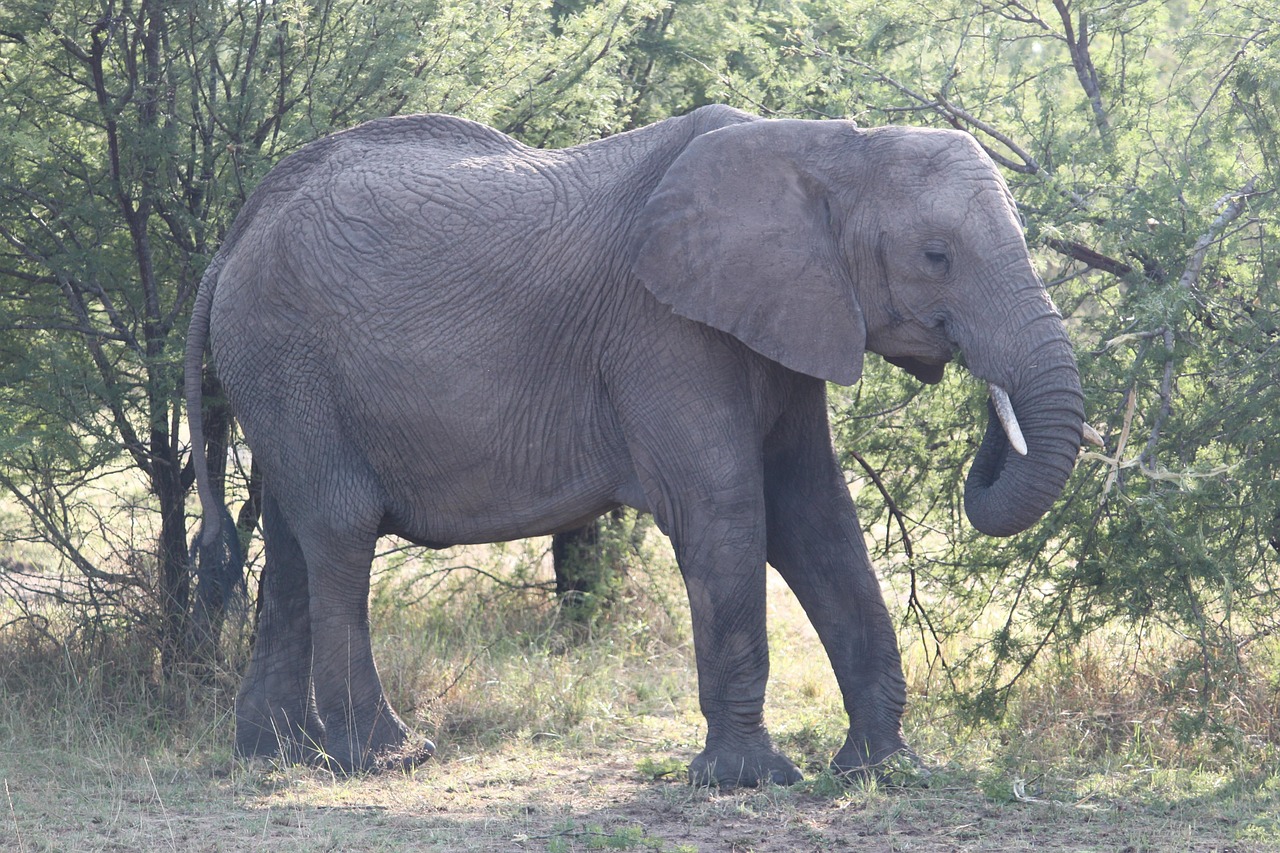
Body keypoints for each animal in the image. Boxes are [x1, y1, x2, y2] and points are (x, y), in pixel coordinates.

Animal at [185, 104, 1085, 787]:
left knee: (293, 541)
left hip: (277, 376)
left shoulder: (787, 317)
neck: (823, 149)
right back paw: (385, 757)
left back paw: (270, 752)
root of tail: (228, 243)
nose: (988, 408)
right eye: (936, 256)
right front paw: (748, 781)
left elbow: (816, 516)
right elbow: (726, 511)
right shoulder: (664, 329)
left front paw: (883, 769)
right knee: (340, 532)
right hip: (288, 357)